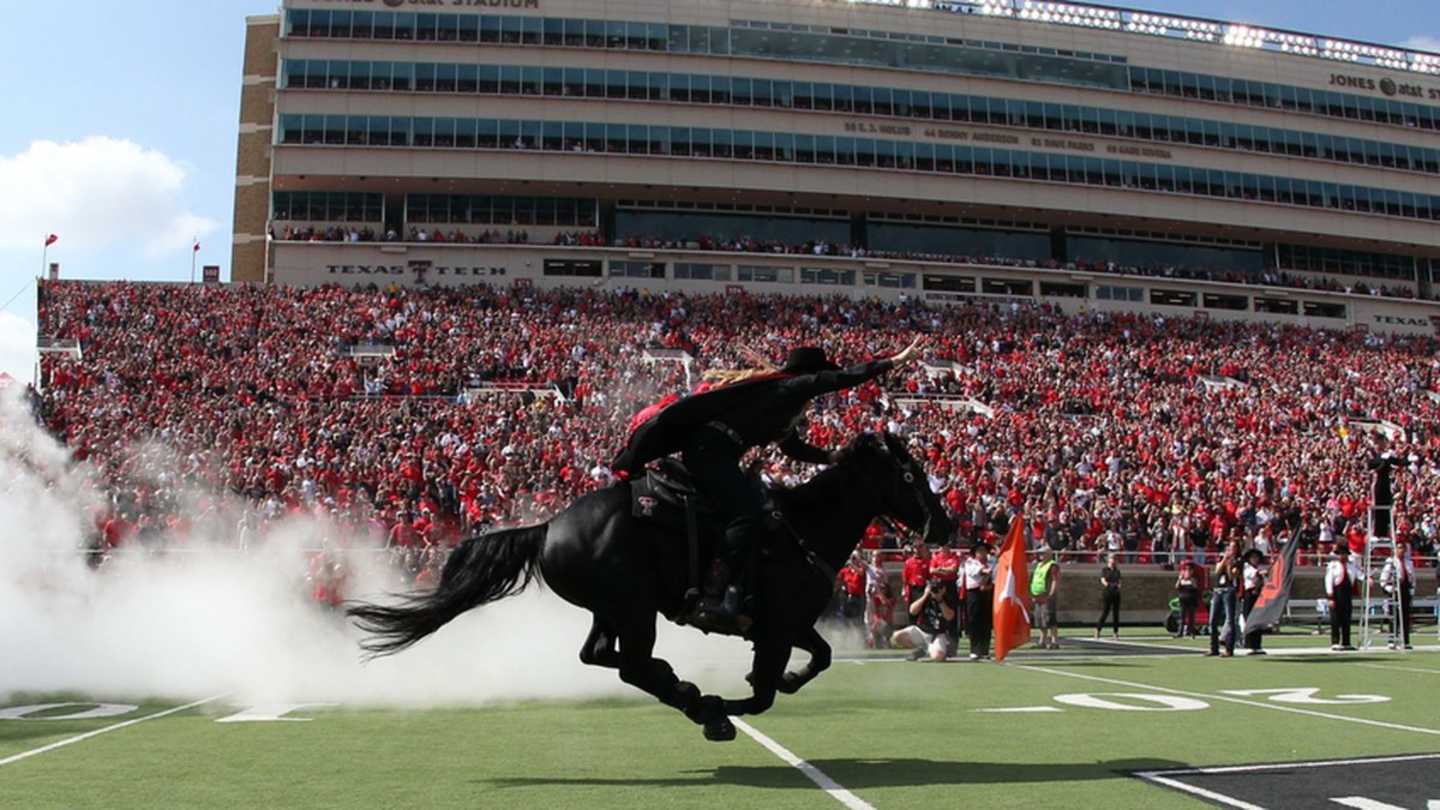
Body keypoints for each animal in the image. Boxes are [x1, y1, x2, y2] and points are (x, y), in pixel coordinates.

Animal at [347, 431, 953, 742]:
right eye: (910, 474)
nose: (945, 526)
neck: (801, 529)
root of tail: (550, 526)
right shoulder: (777, 629)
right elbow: (762, 694)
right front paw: (726, 703)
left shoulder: (789, 625)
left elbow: (817, 660)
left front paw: (780, 681)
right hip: (636, 609)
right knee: (631, 663)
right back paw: (698, 702)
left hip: (613, 609)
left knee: (600, 655)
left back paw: (681, 688)